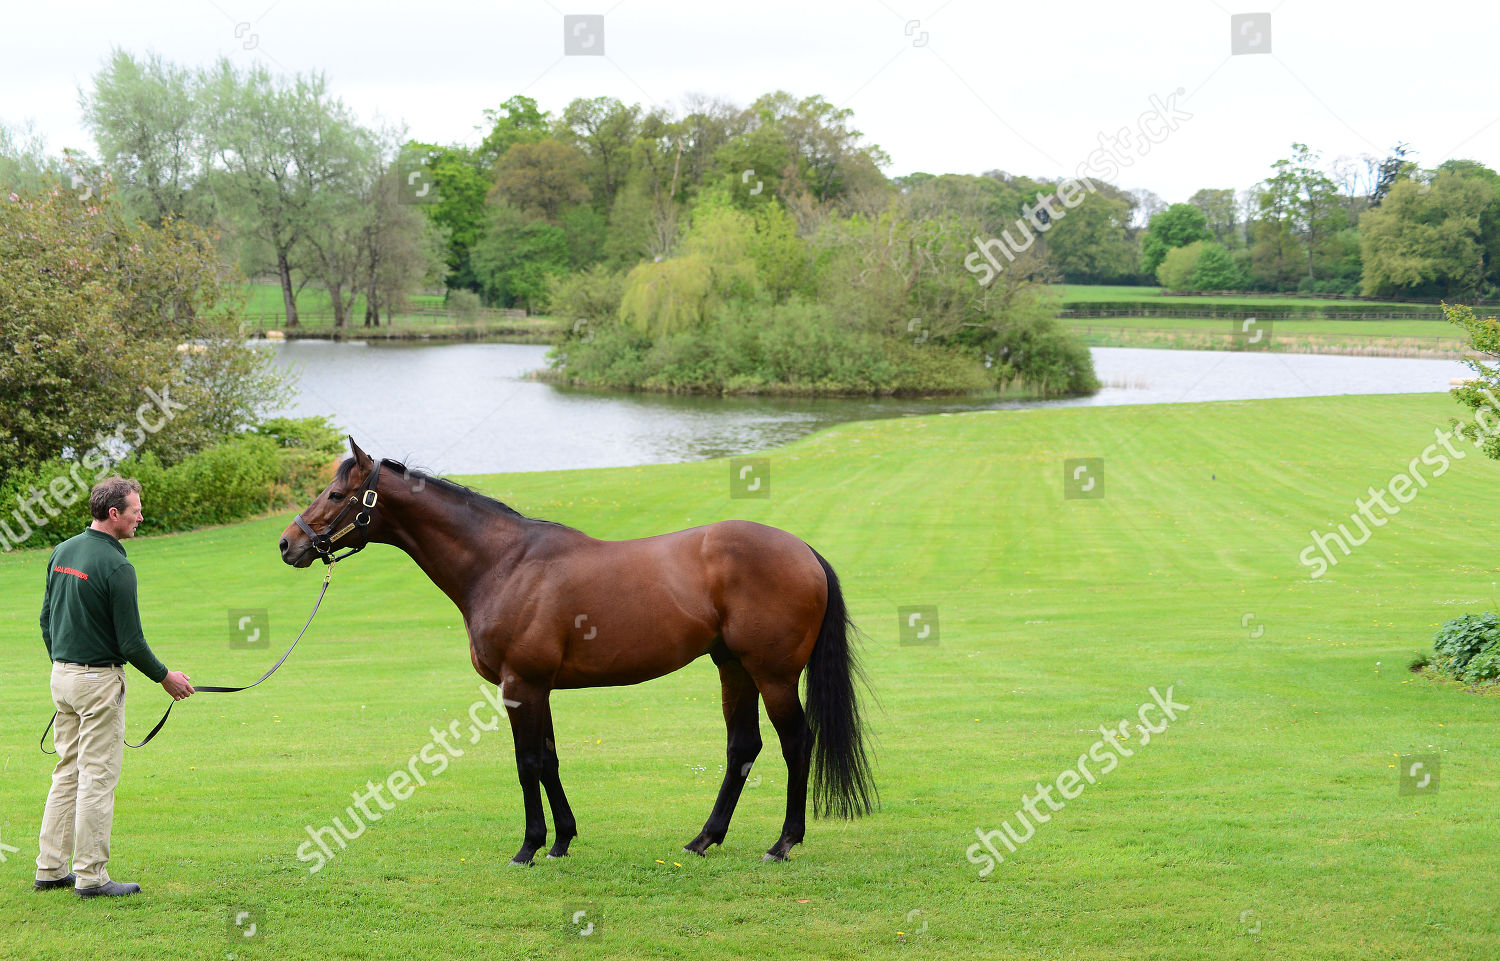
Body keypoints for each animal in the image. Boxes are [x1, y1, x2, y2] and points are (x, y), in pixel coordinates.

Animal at [278, 438, 875, 864]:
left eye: (336, 495)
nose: (289, 543)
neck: (504, 563)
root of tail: (804, 551)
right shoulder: (536, 688)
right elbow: (549, 759)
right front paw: (562, 840)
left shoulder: (519, 685)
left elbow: (527, 763)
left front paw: (529, 847)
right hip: (733, 669)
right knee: (742, 747)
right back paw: (703, 839)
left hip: (773, 675)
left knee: (796, 743)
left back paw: (783, 843)